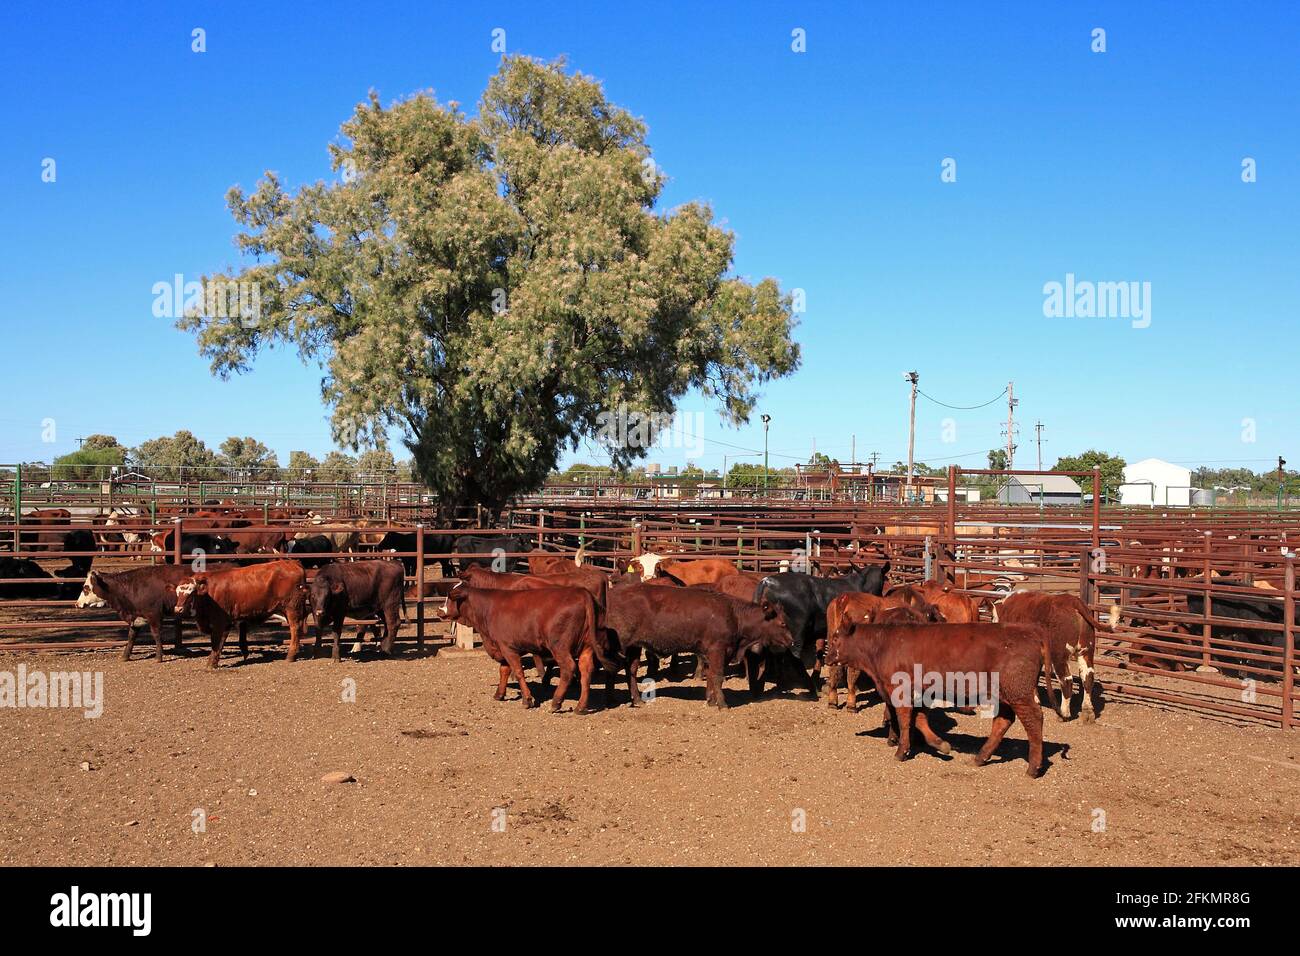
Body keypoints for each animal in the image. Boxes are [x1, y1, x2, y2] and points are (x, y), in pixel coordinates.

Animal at [173, 560, 310, 668]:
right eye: (178, 593)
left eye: (191, 593)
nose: (178, 609)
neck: (208, 592)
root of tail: (293, 562)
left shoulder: (220, 621)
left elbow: (217, 641)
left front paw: (211, 663)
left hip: (292, 607)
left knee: (294, 627)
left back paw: (290, 655)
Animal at [439, 584, 607, 713]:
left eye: (449, 597)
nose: (439, 610)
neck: (488, 608)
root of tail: (582, 592)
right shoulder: (502, 648)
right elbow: (504, 671)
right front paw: (499, 694)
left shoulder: (508, 648)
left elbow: (518, 672)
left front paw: (527, 699)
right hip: (587, 647)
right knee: (586, 671)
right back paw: (581, 707)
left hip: (560, 647)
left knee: (569, 668)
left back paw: (556, 702)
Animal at [605, 584, 793, 708]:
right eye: (782, 623)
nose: (791, 641)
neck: (734, 615)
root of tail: (613, 593)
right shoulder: (718, 650)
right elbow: (717, 676)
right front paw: (722, 703)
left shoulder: (714, 652)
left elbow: (710, 675)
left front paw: (711, 700)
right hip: (620, 644)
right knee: (612, 670)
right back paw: (610, 700)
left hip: (634, 646)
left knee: (631, 670)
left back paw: (637, 699)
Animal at [825, 620, 1052, 777]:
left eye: (835, 638)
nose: (826, 657)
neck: (881, 646)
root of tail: (1032, 633)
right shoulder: (920, 693)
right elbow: (919, 720)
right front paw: (941, 745)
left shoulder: (900, 690)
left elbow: (905, 720)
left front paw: (901, 751)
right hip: (1004, 695)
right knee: (1003, 722)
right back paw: (980, 758)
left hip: (1018, 692)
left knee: (1033, 720)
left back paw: (1033, 768)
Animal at [996, 591, 1107, 722]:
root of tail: (1073, 601)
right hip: (1085, 652)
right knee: (1088, 676)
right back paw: (1087, 712)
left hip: (1059, 655)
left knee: (1066, 679)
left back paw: (1064, 714)